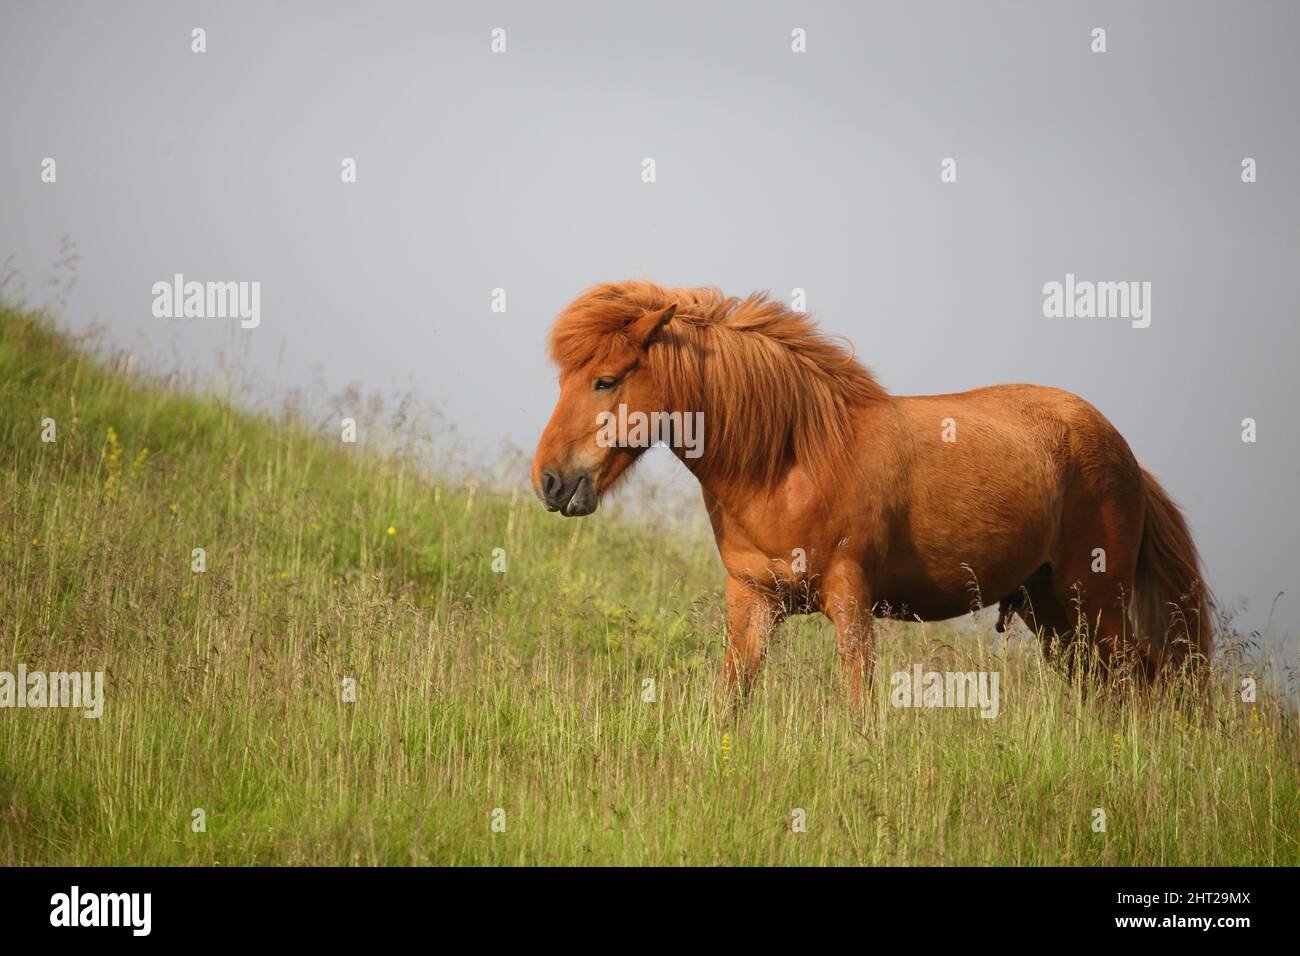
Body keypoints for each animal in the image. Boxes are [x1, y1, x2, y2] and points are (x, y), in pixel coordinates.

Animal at [531, 280, 1212, 703]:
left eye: (605, 380)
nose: (550, 481)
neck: (788, 462)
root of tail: (1123, 453)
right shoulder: (751, 601)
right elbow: (731, 700)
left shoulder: (850, 601)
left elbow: (859, 707)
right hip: (1050, 609)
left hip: (1095, 601)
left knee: (1138, 686)